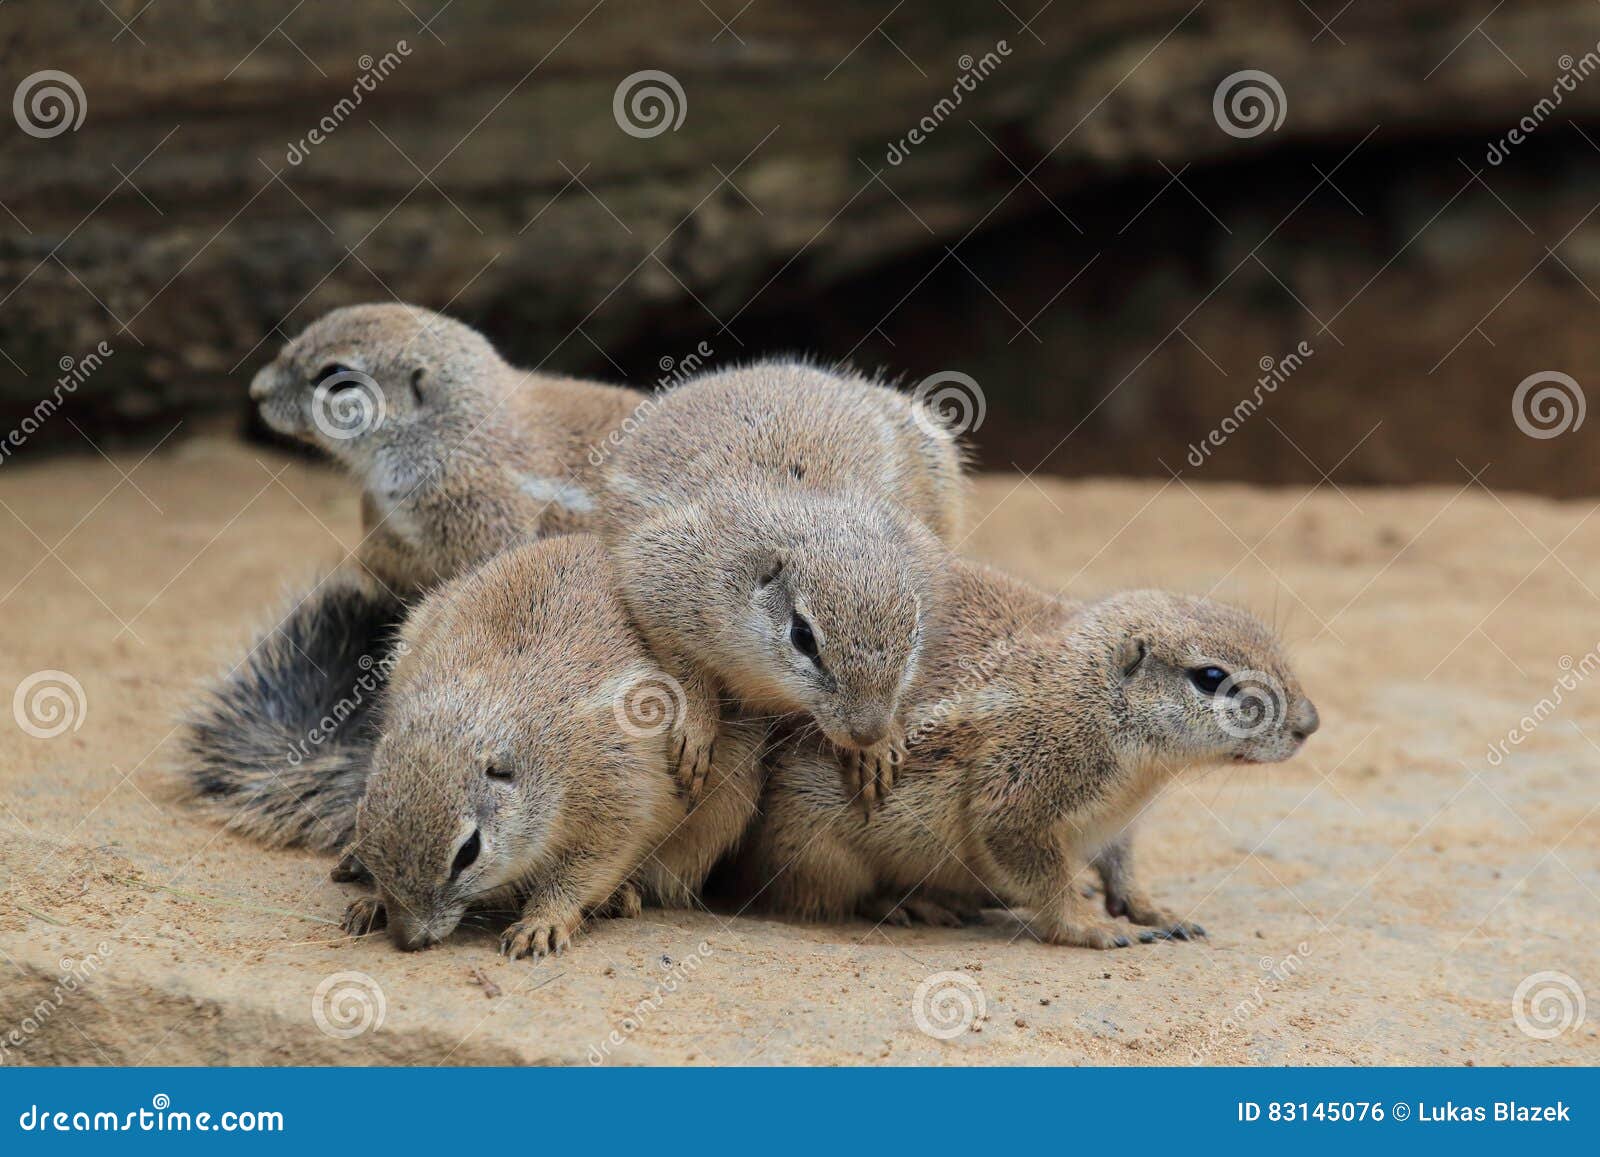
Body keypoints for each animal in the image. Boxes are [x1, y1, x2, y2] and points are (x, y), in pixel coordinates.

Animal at [598, 359, 967, 808]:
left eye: (914, 634)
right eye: (803, 637)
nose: (867, 732)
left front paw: (881, 747)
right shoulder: (659, 578)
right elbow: (684, 673)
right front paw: (697, 733)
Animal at [730, 562, 1320, 949]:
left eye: (1269, 638)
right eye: (1212, 677)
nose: (1310, 724)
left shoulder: (1116, 823)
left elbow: (1121, 867)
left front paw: (1151, 908)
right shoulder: (1021, 784)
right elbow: (1039, 868)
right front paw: (1092, 926)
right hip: (815, 844)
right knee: (826, 896)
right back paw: (916, 903)